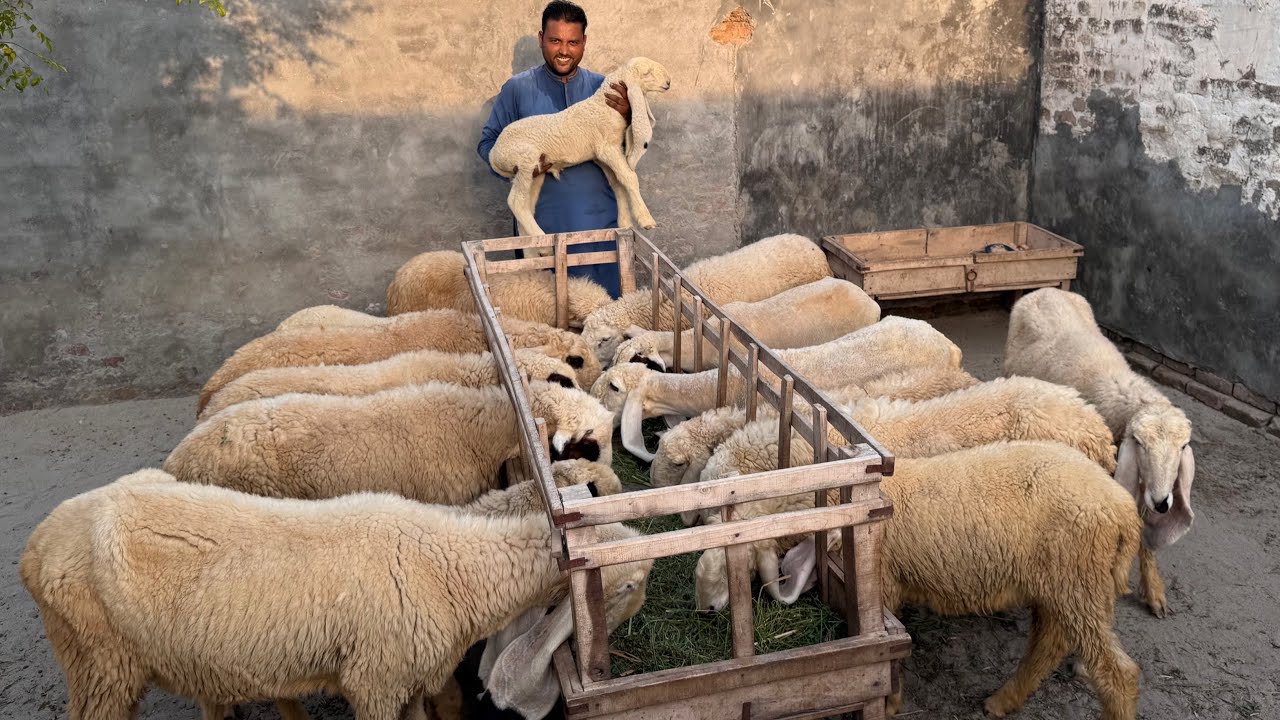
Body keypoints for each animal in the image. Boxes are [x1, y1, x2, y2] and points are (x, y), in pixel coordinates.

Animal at [20, 468, 653, 720]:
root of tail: (36, 545)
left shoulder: (408, 675)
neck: (448, 560)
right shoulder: (375, 679)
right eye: (628, 582)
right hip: (99, 664)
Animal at [488, 57, 671, 236]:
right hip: (523, 159)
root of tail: (493, 154)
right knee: (516, 201)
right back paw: (540, 236)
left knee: (527, 203)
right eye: (647, 73)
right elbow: (629, 178)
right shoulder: (606, 148)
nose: (668, 82)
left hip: (535, 171)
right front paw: (646, 219)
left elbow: (617, 183)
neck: (603, 106)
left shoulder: (603, 155)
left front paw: (625, 223)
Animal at [696, 442, 1142, 720]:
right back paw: (1003, 701)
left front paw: (891, 703)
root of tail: (1124, 508)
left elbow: (888, 652)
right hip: (1063, 585)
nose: (704, 612)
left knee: (1117, 672)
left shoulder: (884, 584)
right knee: (1049, 645)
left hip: (1078, 580)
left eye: (733, 563)